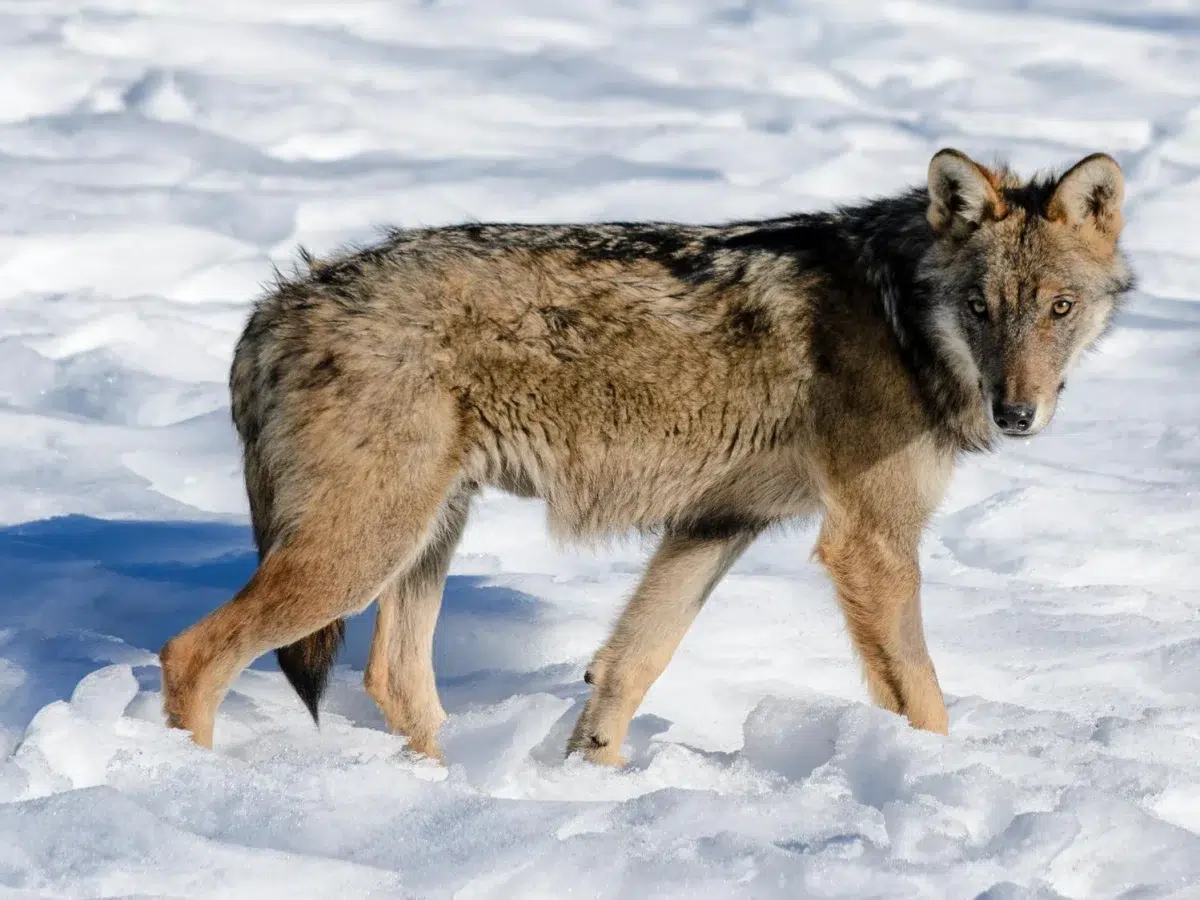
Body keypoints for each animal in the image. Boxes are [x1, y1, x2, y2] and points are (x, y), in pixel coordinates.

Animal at [159, 148, 1133, 764]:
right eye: (979, 306)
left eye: (1058, 308)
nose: (1016, 412)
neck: (898, 315)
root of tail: (275, 303)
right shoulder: (870, 545)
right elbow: (923, 700)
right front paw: (934, 785)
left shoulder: (717, 523)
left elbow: (627, 670)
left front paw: (596, 781)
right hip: (360, 550)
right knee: (192, 654)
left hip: (422, 539)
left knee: (392, 679)